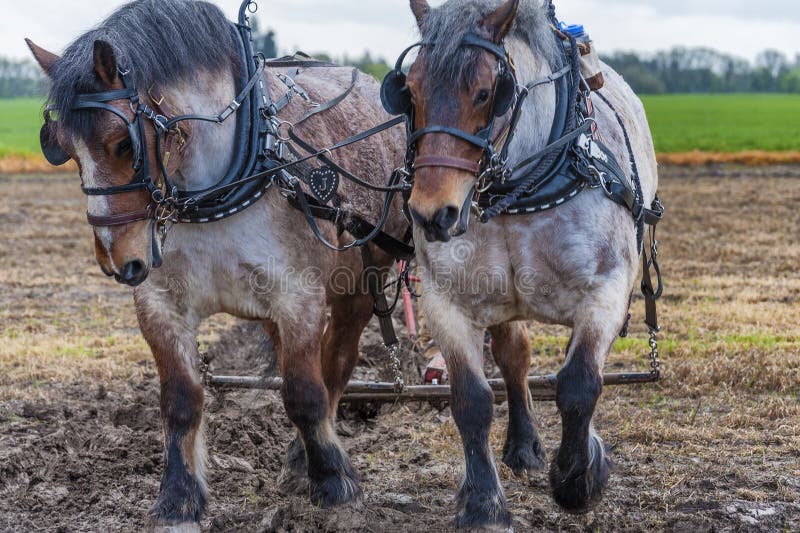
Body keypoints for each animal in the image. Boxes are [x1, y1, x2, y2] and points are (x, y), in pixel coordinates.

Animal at [27, 0, 409, 529]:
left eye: (123, 144)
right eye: (62, 147)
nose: (116, 260)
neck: (221, 185)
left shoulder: (299, 296)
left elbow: (305, 392)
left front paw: (335, 483)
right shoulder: (160, 305)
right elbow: (180, 401)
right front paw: (178, 498)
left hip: (360, 283)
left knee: (337, 364)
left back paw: (303, 461)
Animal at [390, 0, 661, 528]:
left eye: (487, 92)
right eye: (409, 90)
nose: (432, 214)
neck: (519, 189)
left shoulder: (605, 290)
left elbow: (579, 384)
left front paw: (579, 479)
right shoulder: (448, 301)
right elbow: (471, 400)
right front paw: (483, 504)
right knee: (514, 355)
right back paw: (522, 445)